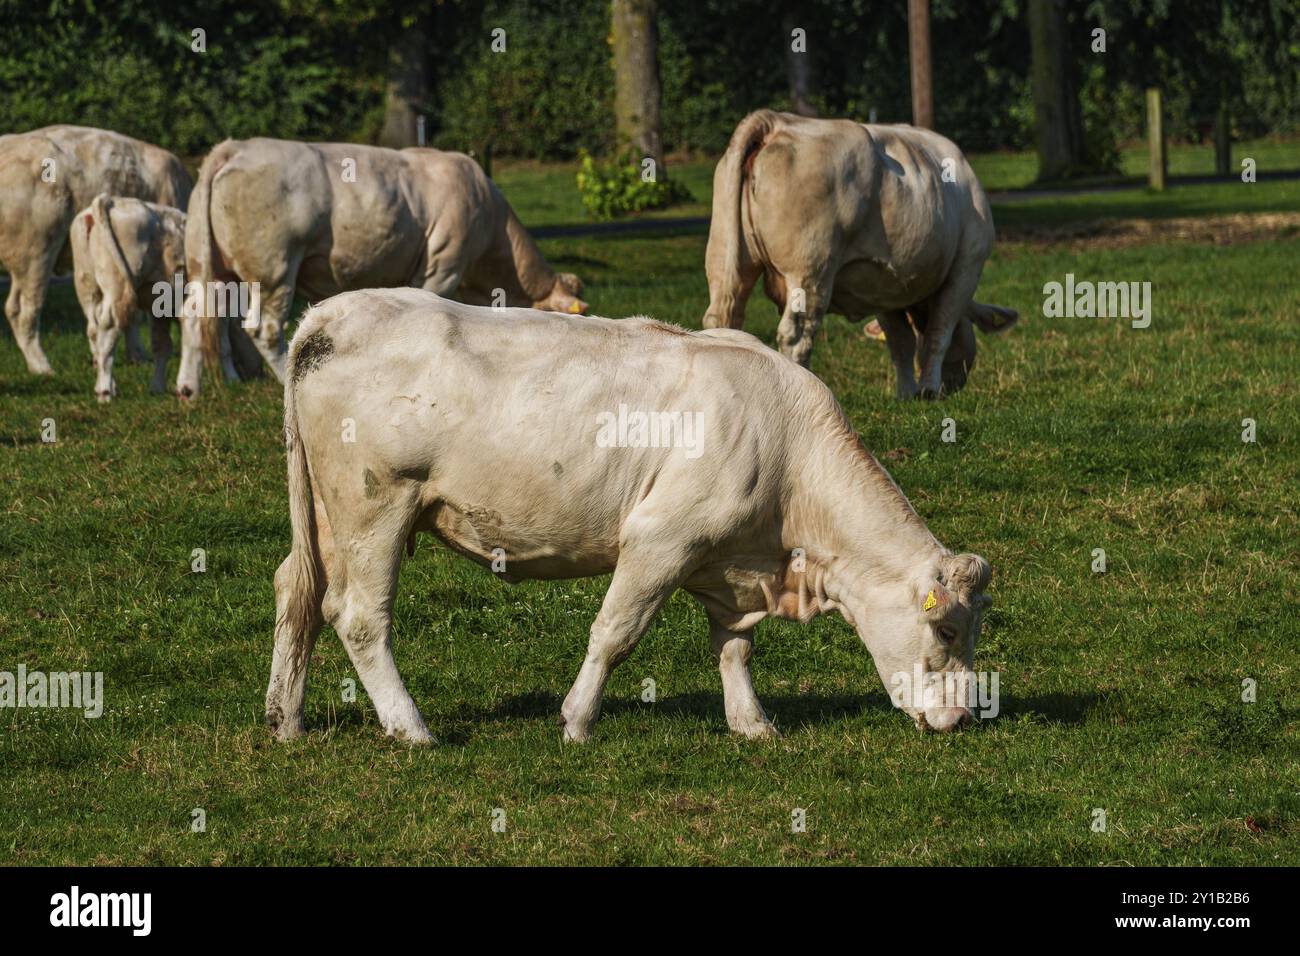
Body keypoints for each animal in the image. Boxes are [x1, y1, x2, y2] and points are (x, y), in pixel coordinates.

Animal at [0, 126, 191, 375]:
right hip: (38, 251)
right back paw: (43, 367)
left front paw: (136, 356)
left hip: (25, 261)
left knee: (13, 307)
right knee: (26, 311)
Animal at [69, 195, 186, 401]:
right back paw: (105, 391)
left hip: (87, 286)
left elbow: (162, 345)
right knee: (109, 328)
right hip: (117, 287)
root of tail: (110, 200)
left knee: (94, 330)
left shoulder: (161, 310)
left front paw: (157, 387)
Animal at [178, 138, 588, 397]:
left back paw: (199, 386)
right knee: (262, 329)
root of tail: (237, 146)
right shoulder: (442, 267)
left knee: (199, 313)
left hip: (211, 265)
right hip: (275, 269)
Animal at [265, 288, 996, 745]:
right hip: (376, 505)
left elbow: (735, 646)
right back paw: (411, 727)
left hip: (324, 514)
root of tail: (331, 313)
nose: (962, 719)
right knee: (358, 617)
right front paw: (577, 721)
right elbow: (614, 634)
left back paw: (286, 720)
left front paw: (752, 723)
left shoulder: (726, 563)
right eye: (949, 630)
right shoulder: (661, 540)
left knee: (295, 592)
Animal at [702, 110, 1018, 398]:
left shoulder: (886, 289)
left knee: (721, 319)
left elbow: (901, 343)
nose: (953, 385)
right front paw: (927, 389)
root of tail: (779, 121)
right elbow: (939, 332)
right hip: (810, 272)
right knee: (796, 336)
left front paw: (906, 394)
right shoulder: (966, 269)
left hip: (726, 259)